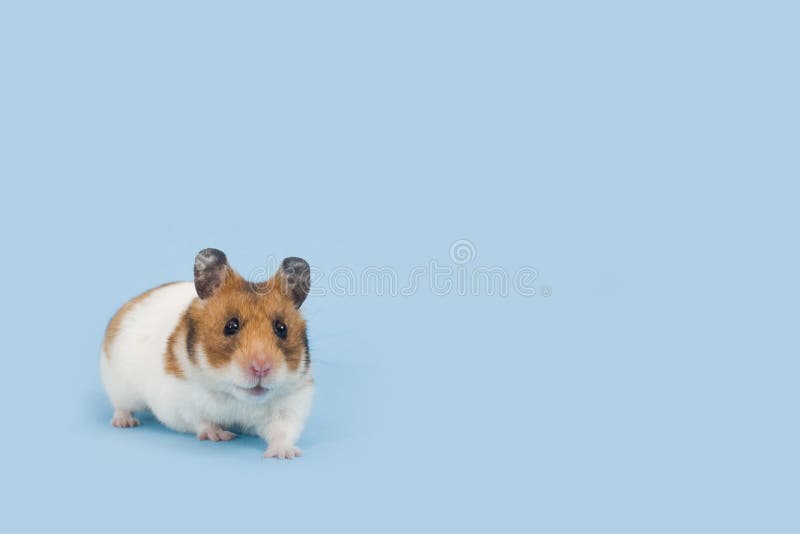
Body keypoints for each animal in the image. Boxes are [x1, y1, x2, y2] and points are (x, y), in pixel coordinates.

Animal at [100, 248, 313, 459]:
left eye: (282, 328)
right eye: (231, 326)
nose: (261, 367)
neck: (236, 397)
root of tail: (132, 300)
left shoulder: (291, 404)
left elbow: (282, 431)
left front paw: (284, 454)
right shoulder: (181, 402)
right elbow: (202, 421)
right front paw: (221, 435)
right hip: (120, 387)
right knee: (121, 406)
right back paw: (125, 422)